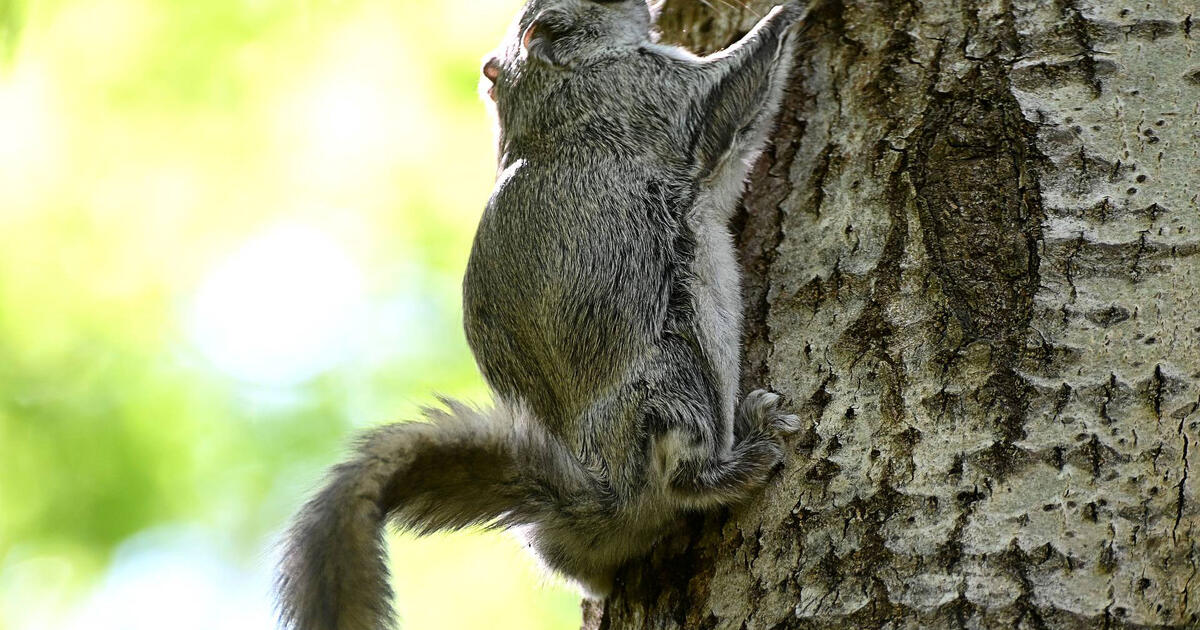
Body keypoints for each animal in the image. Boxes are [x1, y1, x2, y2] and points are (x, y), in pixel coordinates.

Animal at [276, 1, 809, 628]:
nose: (649, 6)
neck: (543, 96)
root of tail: (603, 496)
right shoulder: (657, 95)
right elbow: (740, 84)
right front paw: (799, 12)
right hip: (671, 381)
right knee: (683, 473)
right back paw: (741, 454)